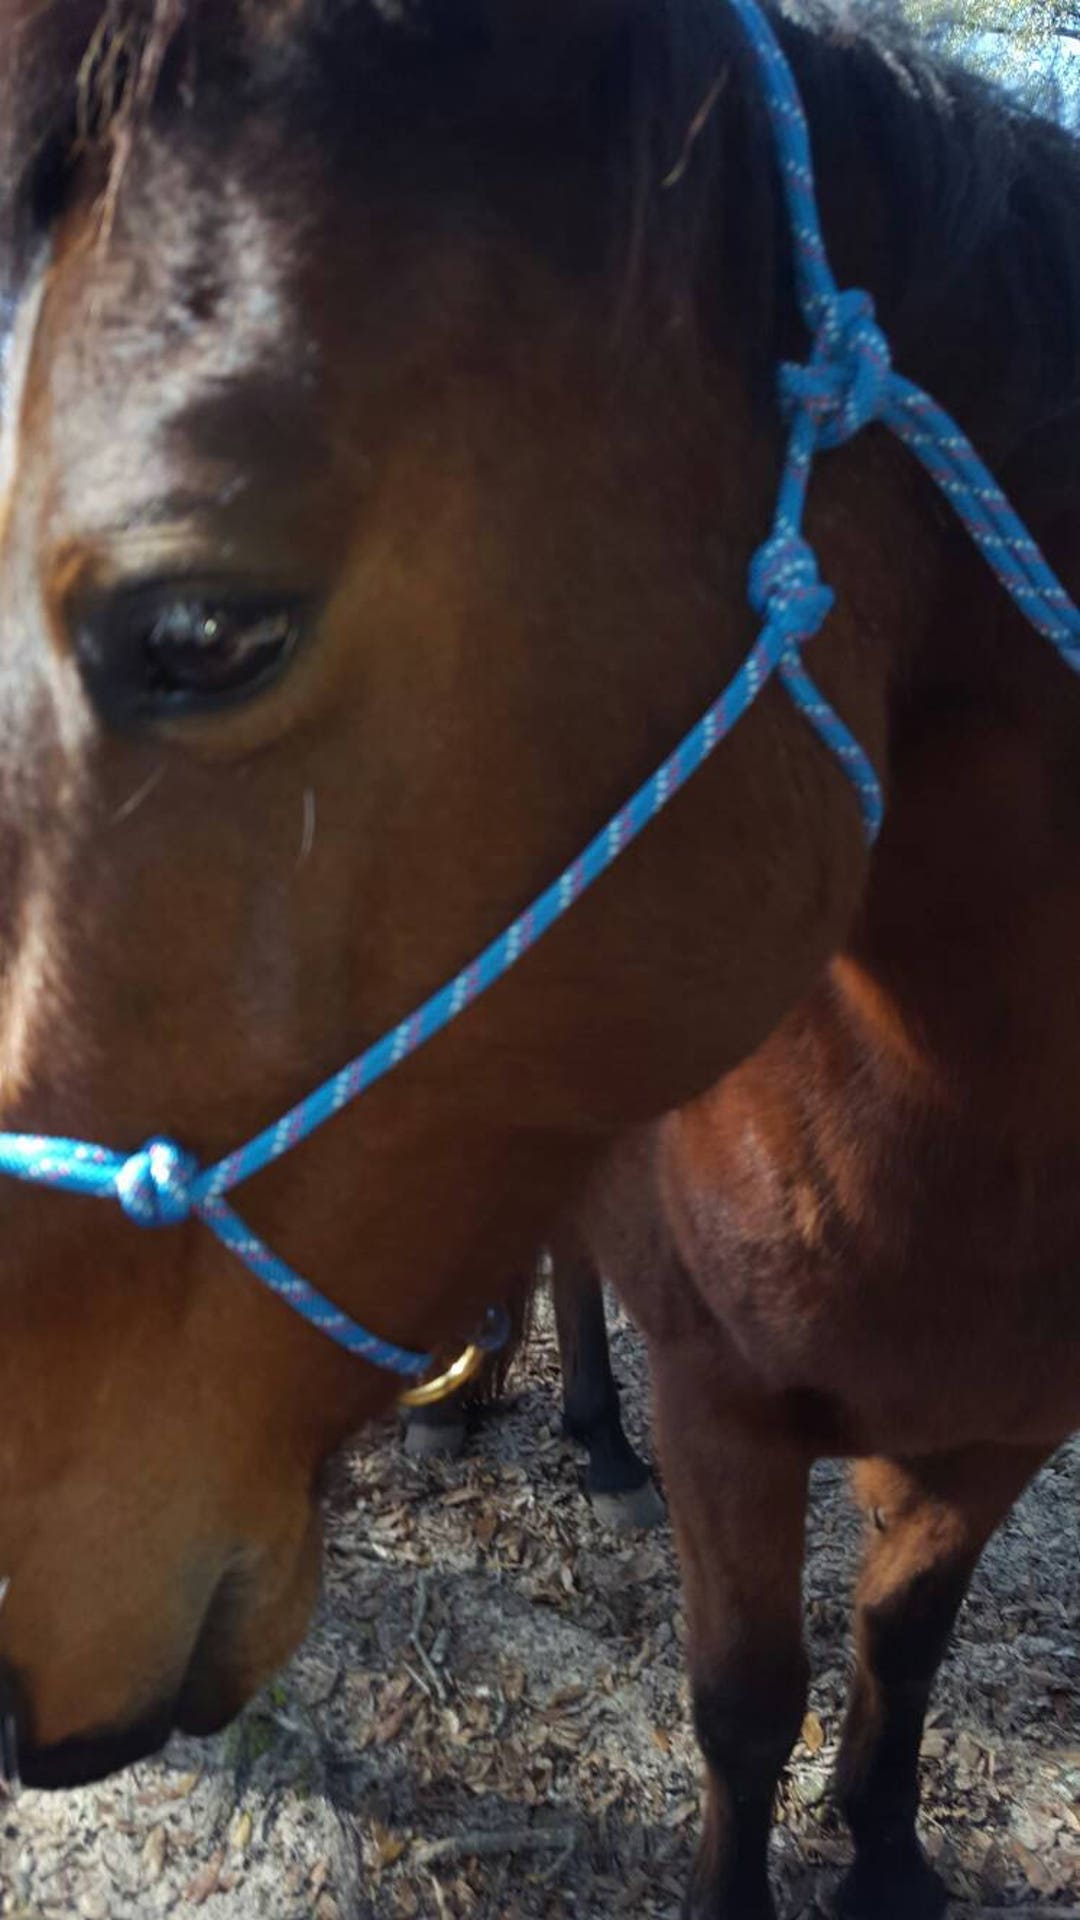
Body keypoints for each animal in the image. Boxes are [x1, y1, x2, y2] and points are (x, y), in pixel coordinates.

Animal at [0, 3, 1079, 1918]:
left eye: (201, 631)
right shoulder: (732, 1408)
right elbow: (746, 1703)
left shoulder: (1006, 1431)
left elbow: (905, 1649)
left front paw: (885, 1851)